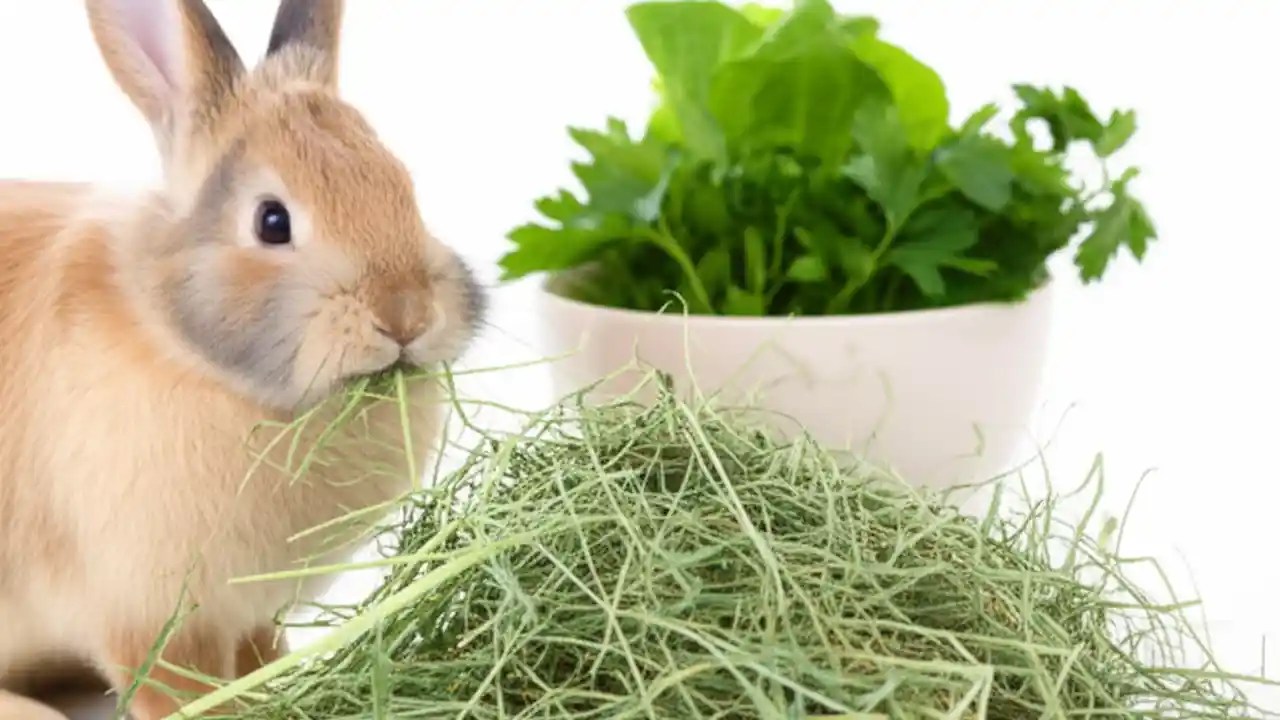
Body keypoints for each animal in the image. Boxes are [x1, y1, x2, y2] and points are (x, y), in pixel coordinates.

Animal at [0, 0, 487, 717]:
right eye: (272, 222)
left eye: (402, 185)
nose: (405, 314)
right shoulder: (152, 615)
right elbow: (178, 688)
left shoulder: (249, 609)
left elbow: (259, 652)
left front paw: (279, 686)